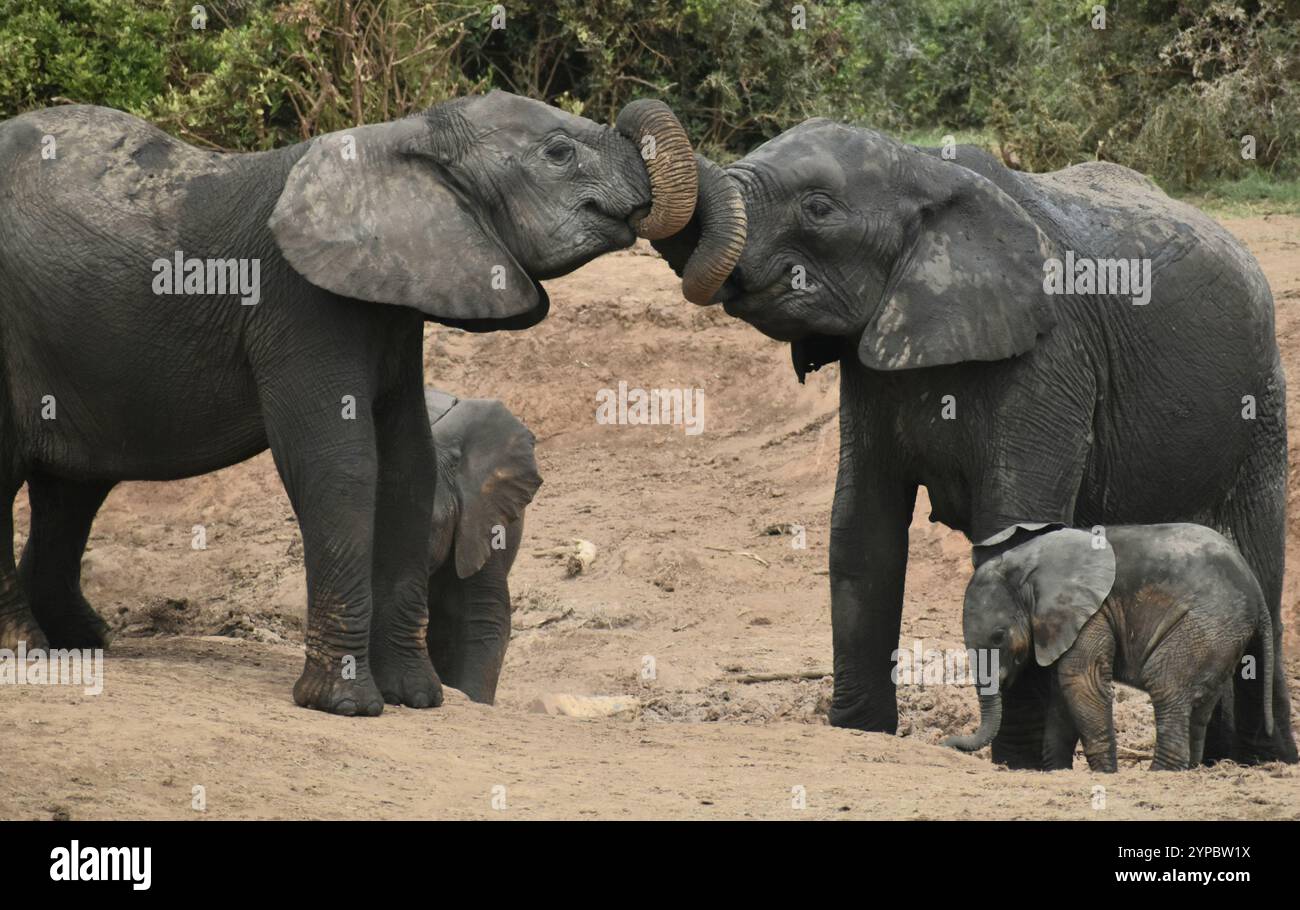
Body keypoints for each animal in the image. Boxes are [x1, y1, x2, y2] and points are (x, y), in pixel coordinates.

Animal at [945, 525, 1274, 771]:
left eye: (998, 636)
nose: (946, 742)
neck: (1025, 563)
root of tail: (1258, 592)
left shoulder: (1091, 612)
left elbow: (1081, 681)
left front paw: (1104, 773)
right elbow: (1063, 692)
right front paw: (1058, 771)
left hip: (1207, 623)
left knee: (1165, 684)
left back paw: (1159, 773)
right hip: (1221, 635)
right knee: (1200, 705)